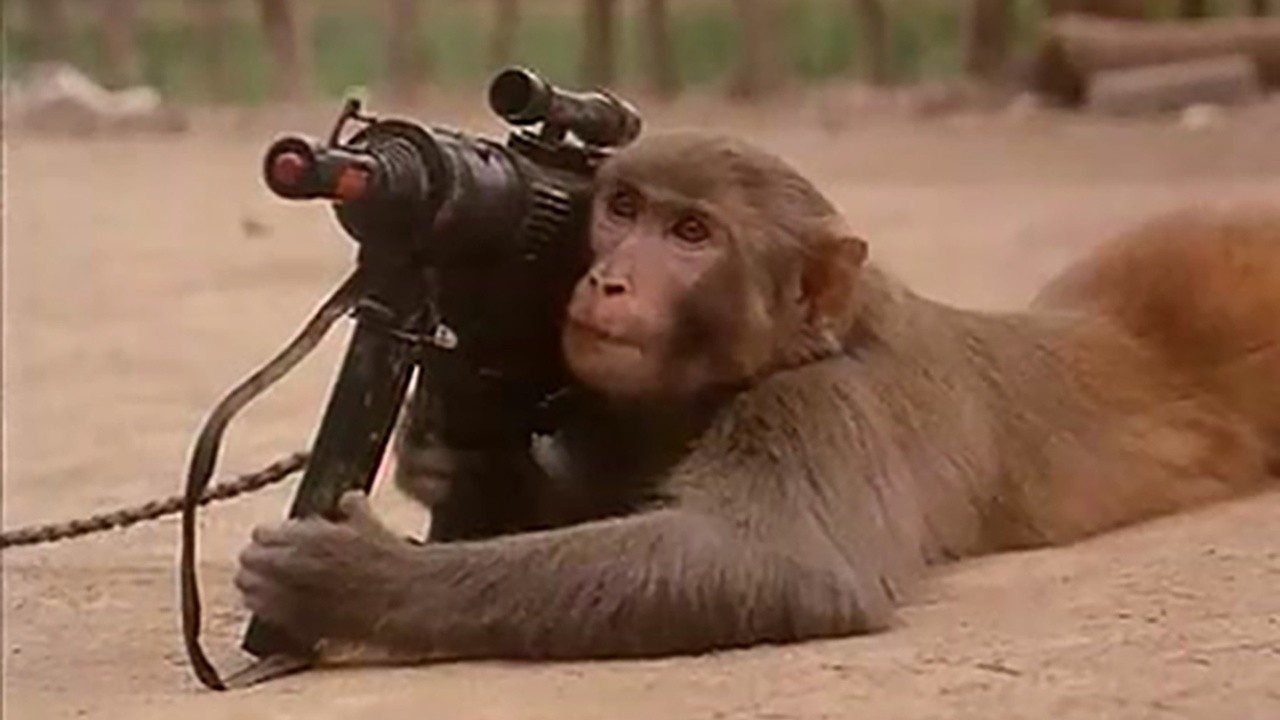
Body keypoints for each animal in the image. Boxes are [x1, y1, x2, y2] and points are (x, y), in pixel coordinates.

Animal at [236, 132, 1279, 663]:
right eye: (624, 209)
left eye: (692, 234)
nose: (611, 280)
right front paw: (446, 459)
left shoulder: (828, 406)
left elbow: (777, 563)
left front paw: (360, 581)